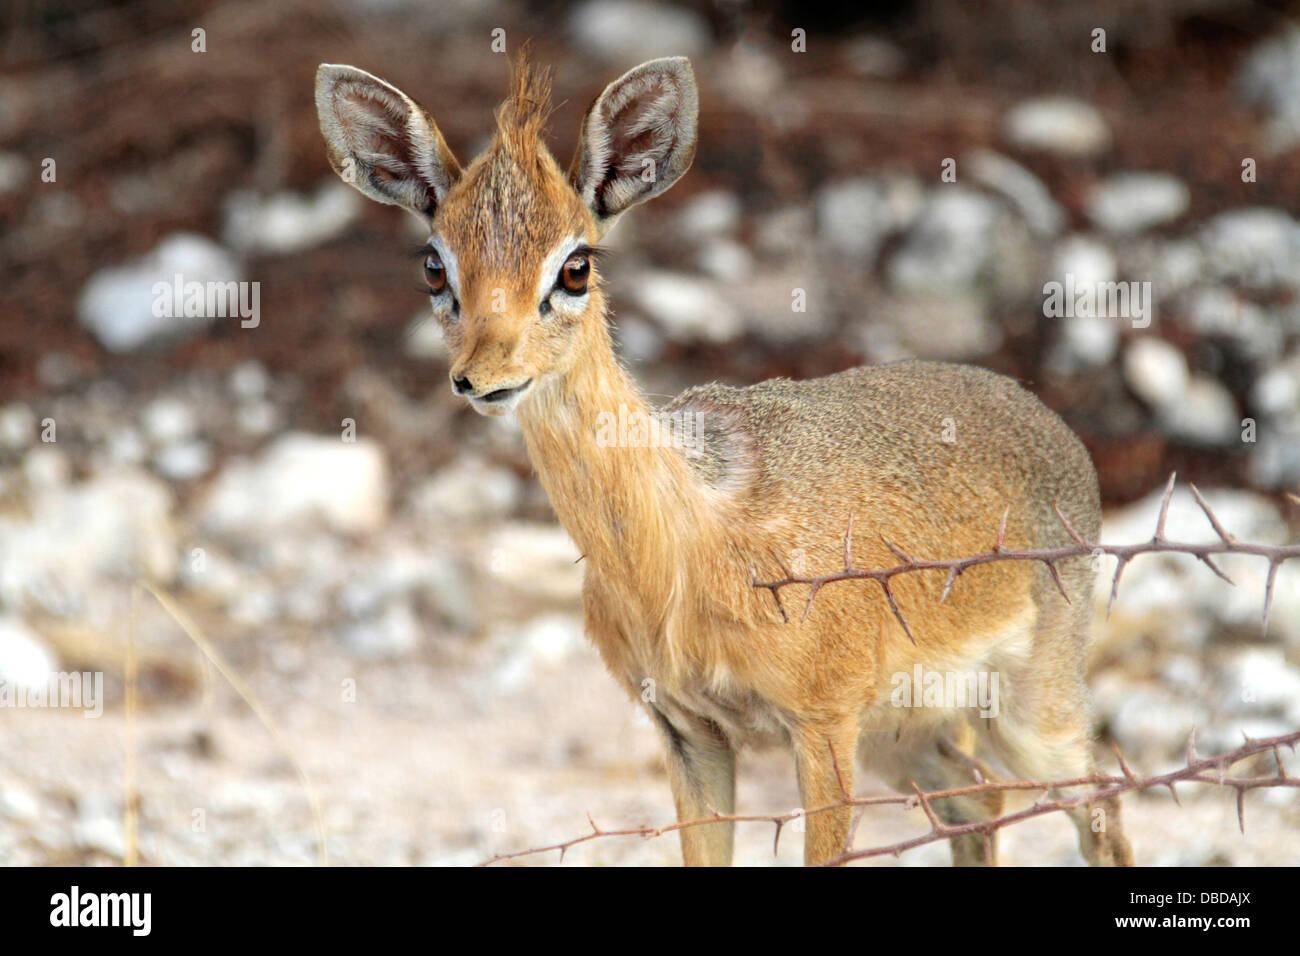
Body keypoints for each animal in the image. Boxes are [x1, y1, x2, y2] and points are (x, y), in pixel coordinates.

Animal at [315, 52, 1134, 867]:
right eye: (434, 266)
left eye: (576, 266)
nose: (483, 378)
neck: (681, 549)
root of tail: (1048, 424)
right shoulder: (689, 732)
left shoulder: (821, 722)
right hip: (903, 733)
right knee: (977, 795)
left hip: (1030, 708)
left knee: (1099, 802)